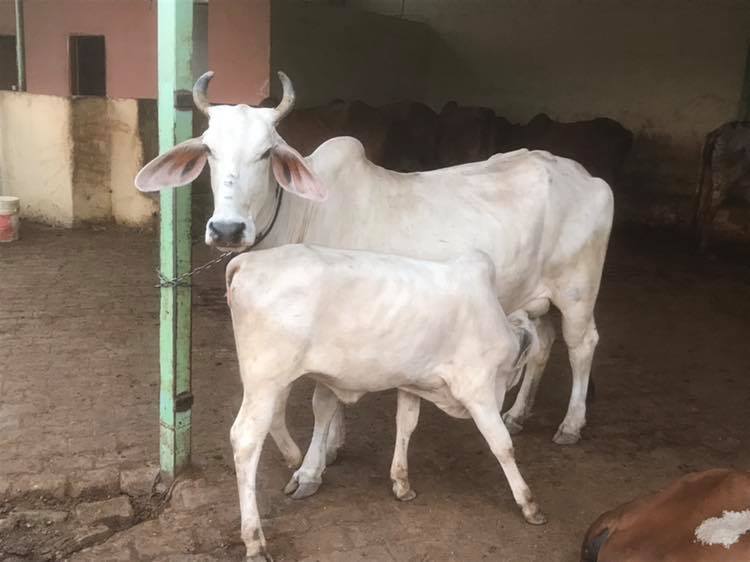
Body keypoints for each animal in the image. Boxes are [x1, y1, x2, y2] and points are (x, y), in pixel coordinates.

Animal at [134, 70, 613, 486]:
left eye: (267, 152)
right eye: (209, 150)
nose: (228, 229)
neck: (301, 214)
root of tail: (589, 178)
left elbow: (323, 399)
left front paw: (314, 464)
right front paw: (332, 447)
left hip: (578, 291)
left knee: (582, 345)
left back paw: (571, 423)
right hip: (536, 296)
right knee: (544, 343)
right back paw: (516, 413)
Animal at [225, 244, 547, 560]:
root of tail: (247, 261)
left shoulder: (414, 382)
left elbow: (406, 424)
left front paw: (401, 482)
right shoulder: (477, 390)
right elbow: (502, 445)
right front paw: (528, 503)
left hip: (272, 382)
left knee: (276, 418)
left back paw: (296, 461)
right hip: (265, 380)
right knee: (245, 440)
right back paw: (255, 540)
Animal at [693, 121, 750, 250]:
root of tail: (718, 130)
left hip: (709, 176)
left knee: (701, 209)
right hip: (722, 181)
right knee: (708, 213)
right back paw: (703, 247)